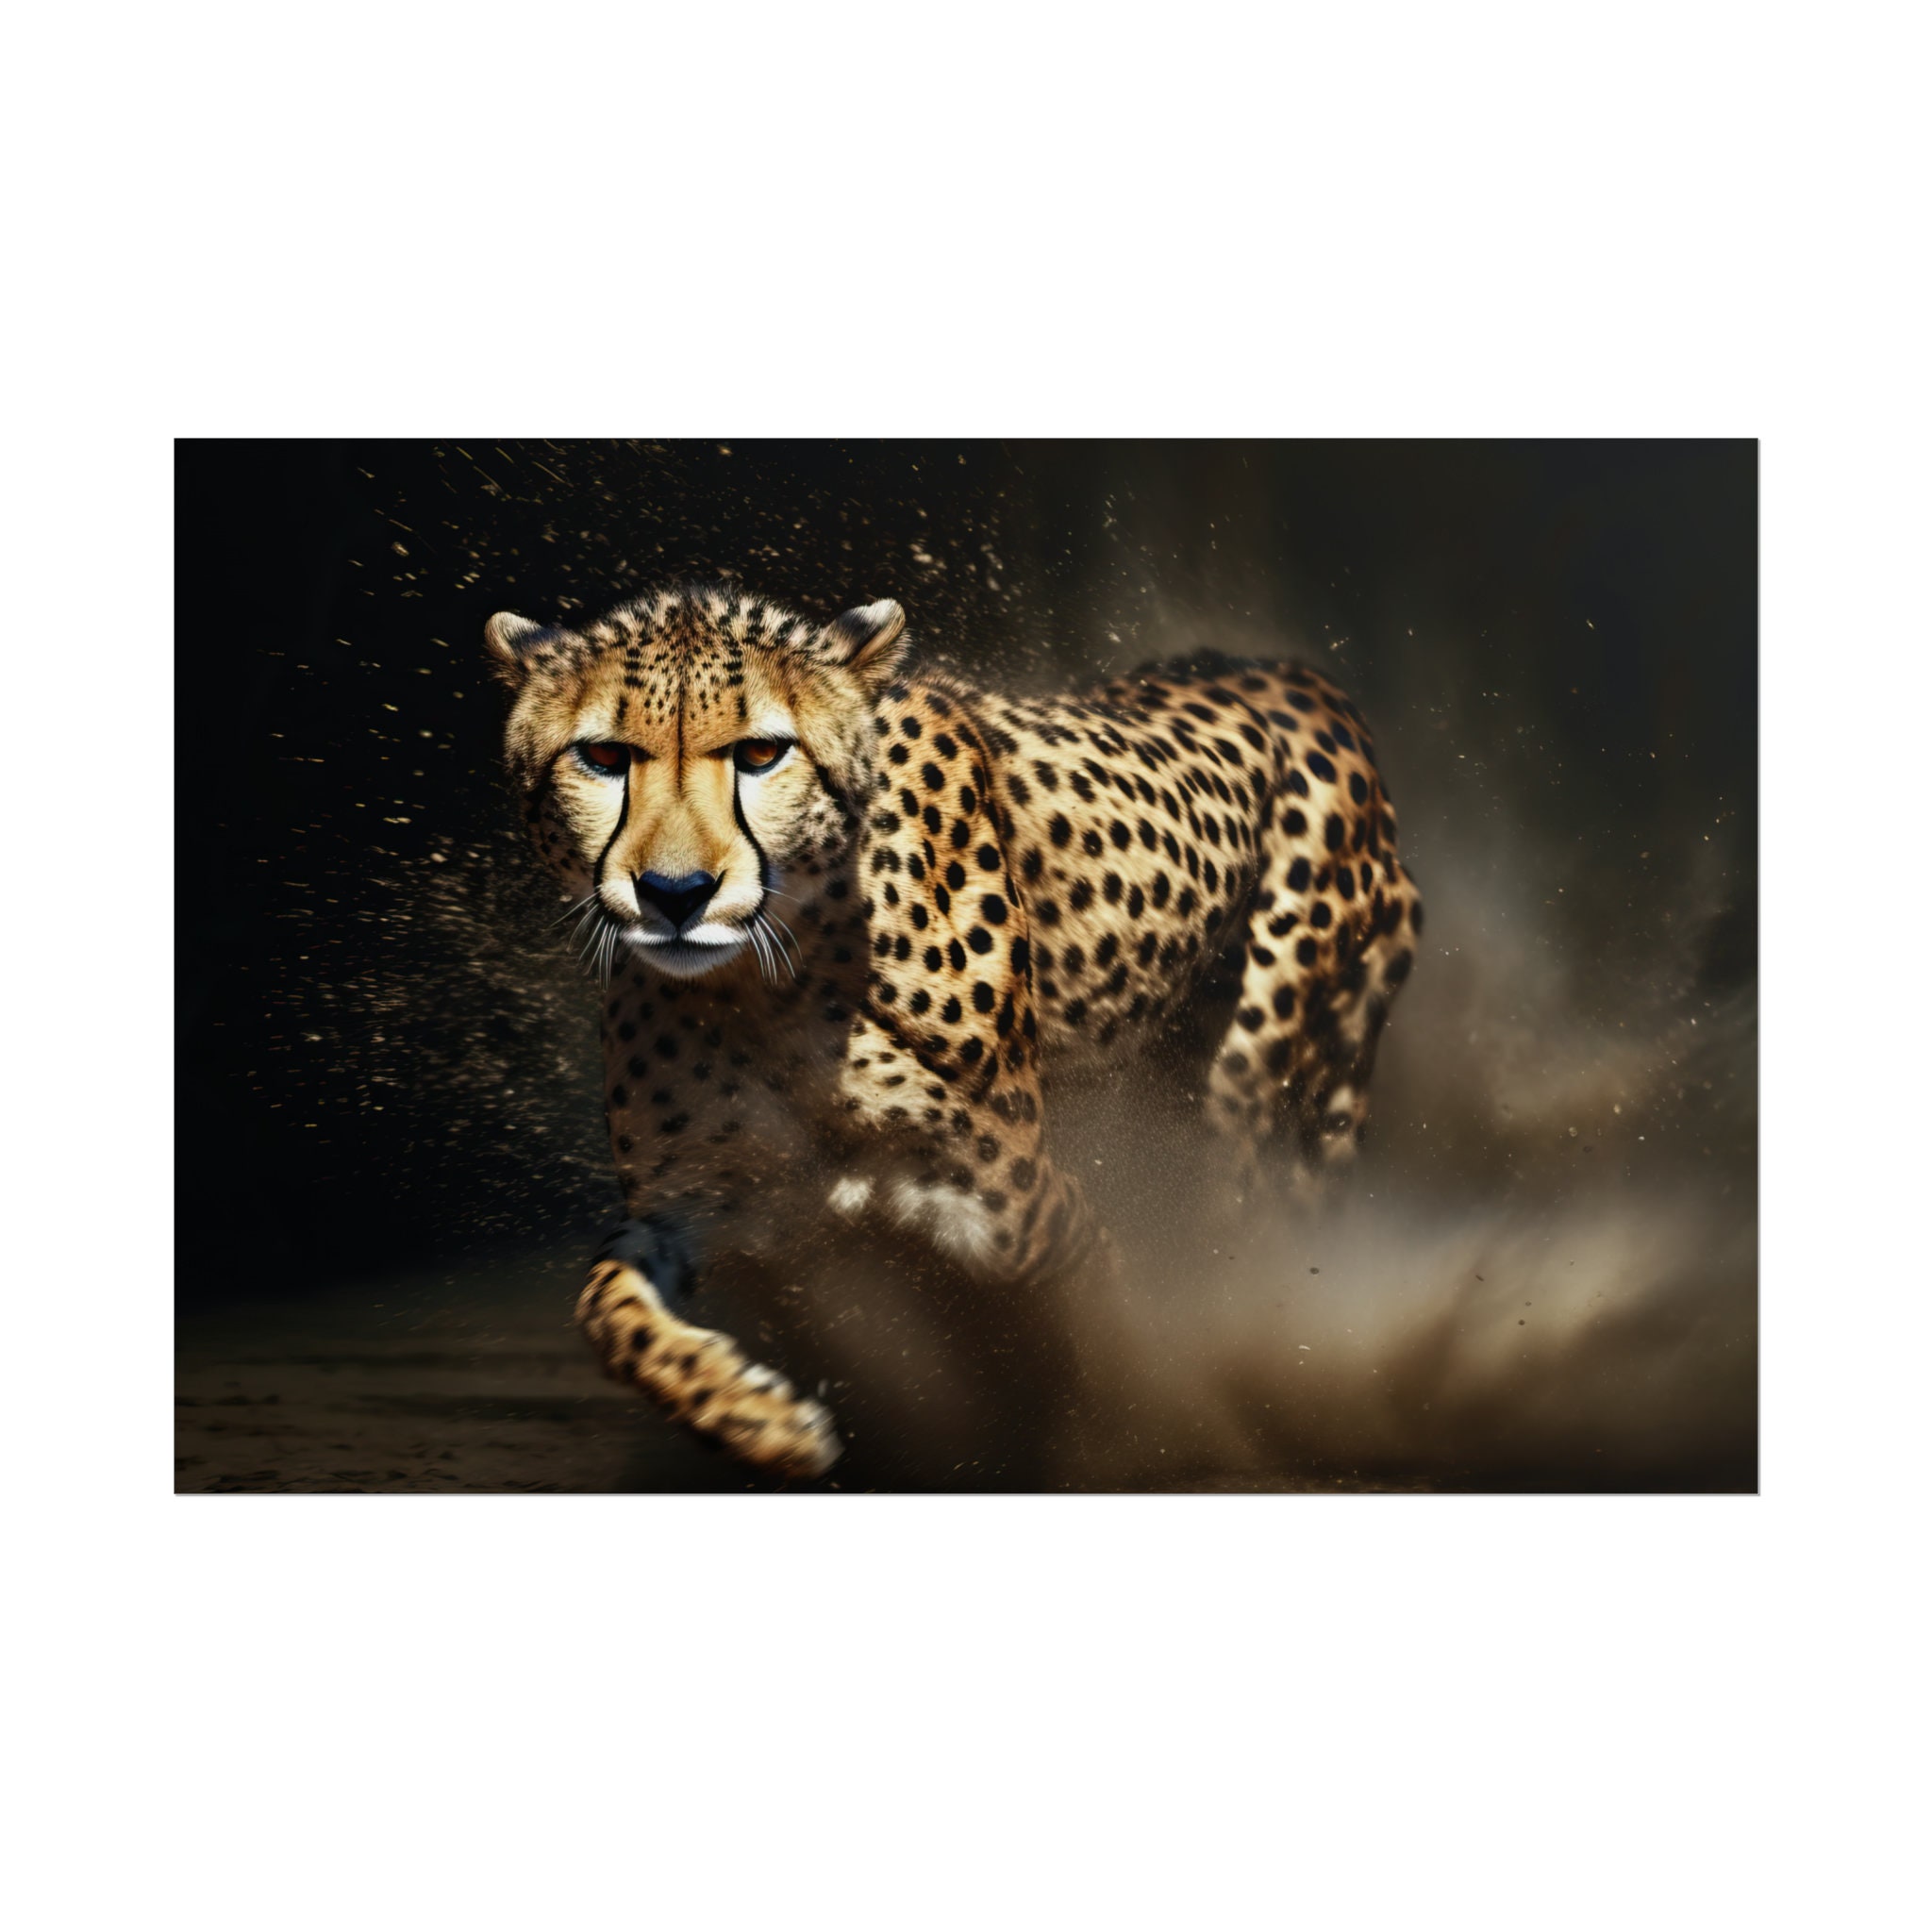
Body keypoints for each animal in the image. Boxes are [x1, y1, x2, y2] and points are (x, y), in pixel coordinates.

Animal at [484, 582, 1422, 1483]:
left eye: (760, 753)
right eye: (605, 757)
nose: (673, 894)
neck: (764, 986)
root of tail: (1294, 675)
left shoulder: (1017, 1213)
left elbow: (1087, 1331)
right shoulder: (706, 1200)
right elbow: (609, 1310)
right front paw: (758, 1421)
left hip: (1249, 1090)